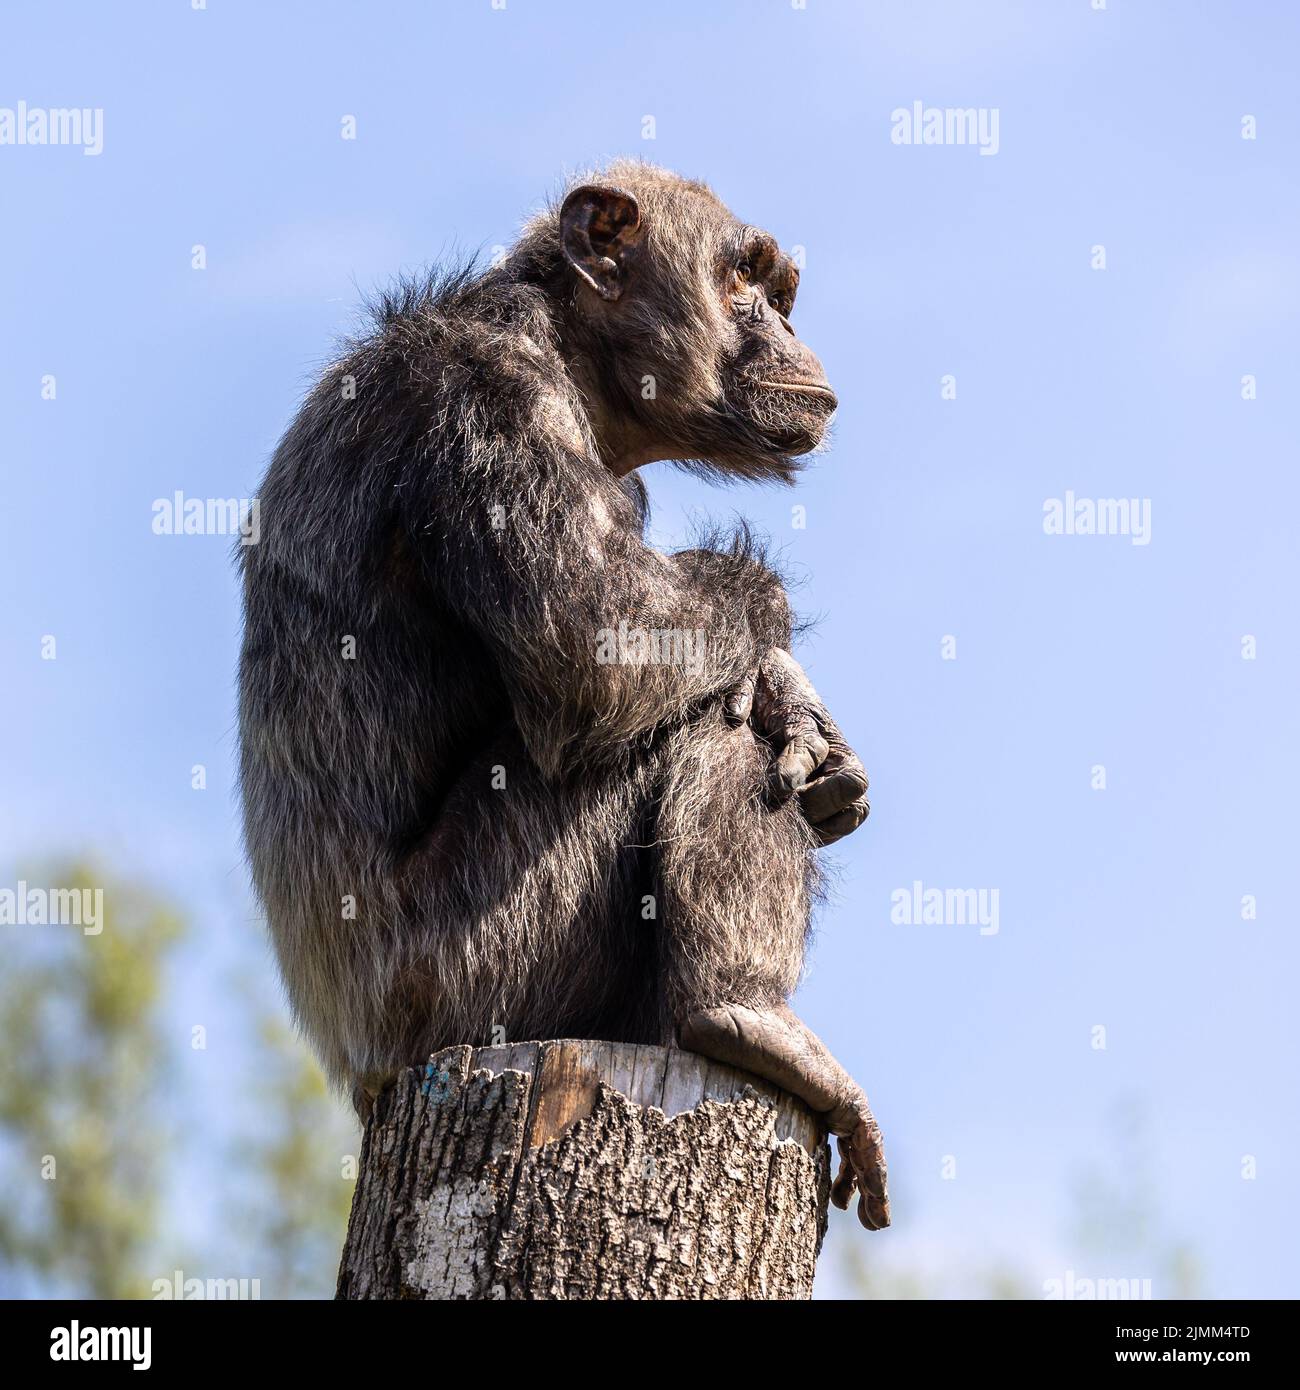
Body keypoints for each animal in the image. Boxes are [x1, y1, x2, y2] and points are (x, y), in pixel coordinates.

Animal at [238, 161, 889, 1231]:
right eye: (743, 279)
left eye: (779, 291)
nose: (788, 329)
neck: (570, 358)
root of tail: (363, 1068)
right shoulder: (491, 404)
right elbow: (598, 641)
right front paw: (780, 679)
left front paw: (801, 707)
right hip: (472, 968)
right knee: (692, 728)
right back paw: (744, 1013)